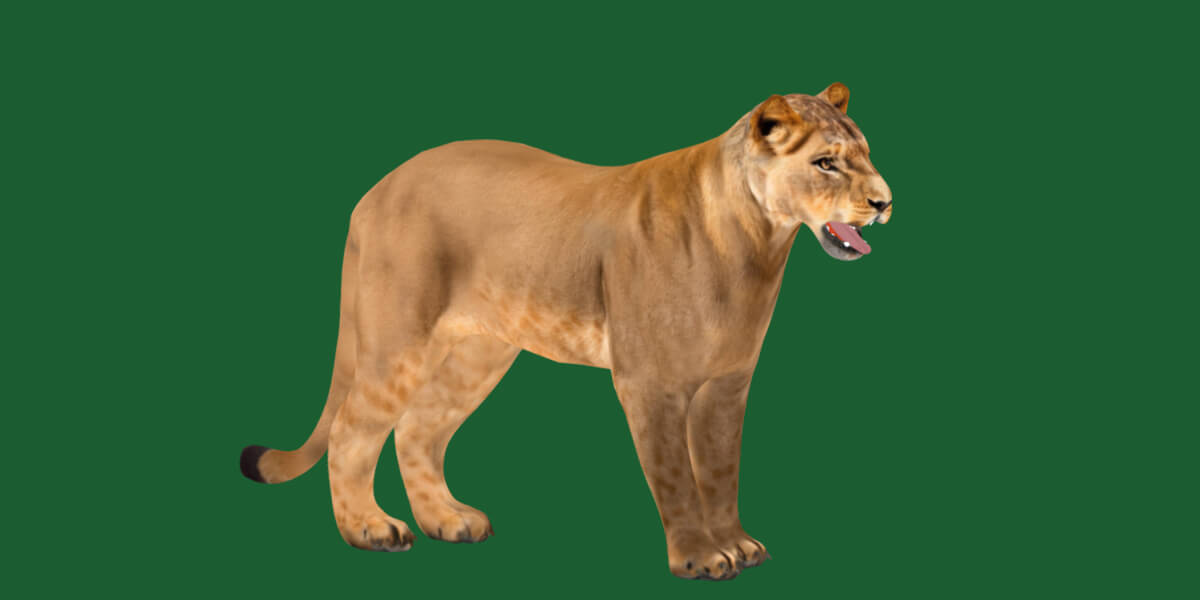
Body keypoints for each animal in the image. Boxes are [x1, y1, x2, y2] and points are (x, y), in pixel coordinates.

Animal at [240, 82, 893, 580]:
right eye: (826, 163)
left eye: (865, 154)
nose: (885, 202)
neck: (756, 243)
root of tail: (374, 191)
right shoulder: (650, 383)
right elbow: (675, 475)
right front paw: (700, 558)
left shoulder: (727, 383)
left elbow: (719, 468)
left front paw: (736, 544)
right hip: (397, 341)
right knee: (352, 430)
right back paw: (370, 529)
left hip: (478, 353)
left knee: (418, 430)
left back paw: (449, 520)